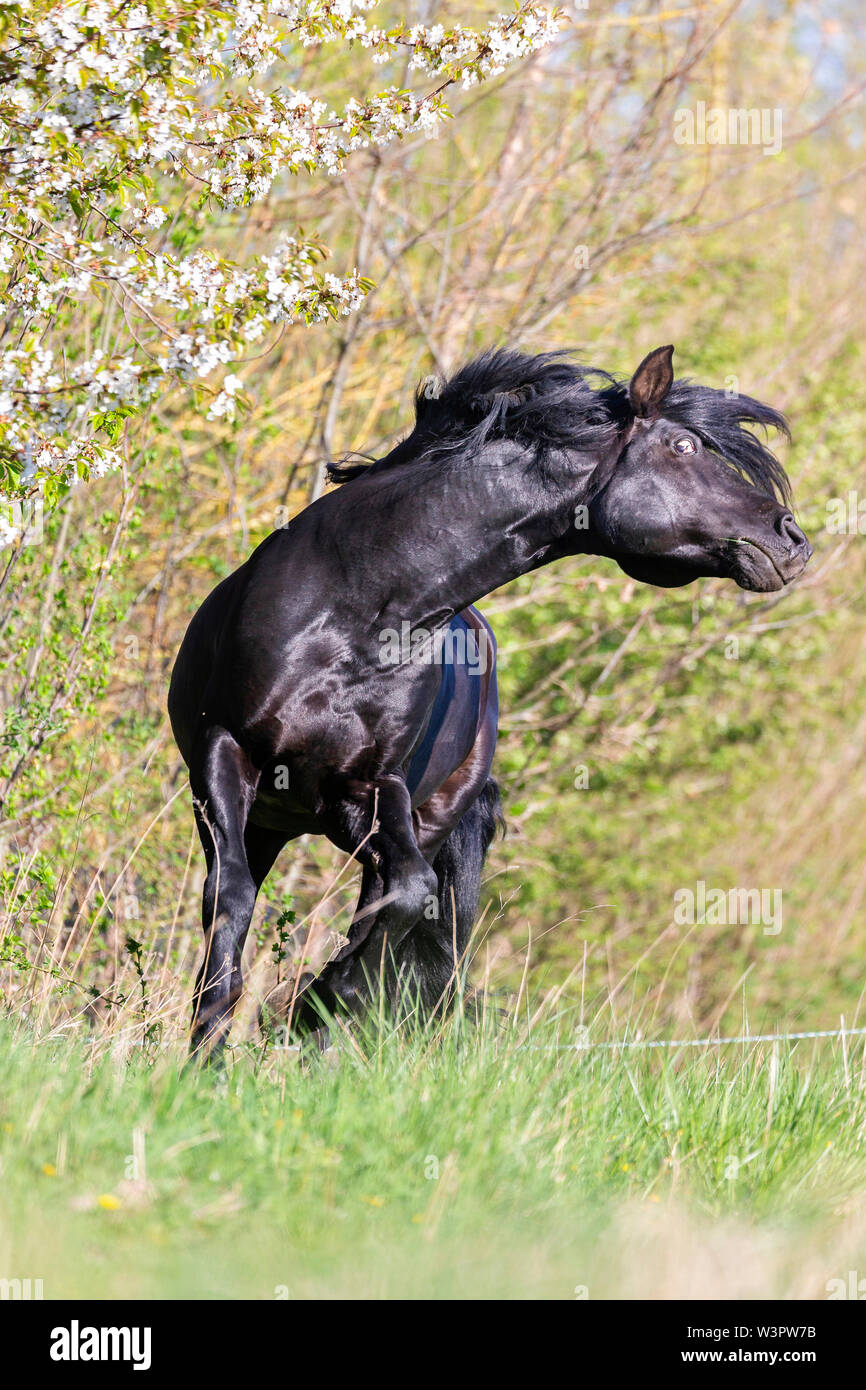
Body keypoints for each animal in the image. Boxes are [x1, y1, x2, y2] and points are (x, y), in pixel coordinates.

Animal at [168, 344, 812, 1060]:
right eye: (683, 445)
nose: (792, 540)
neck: (355, 606)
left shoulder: (372, 787)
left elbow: (407, 897)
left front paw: (318, 1004)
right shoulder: (226, 753)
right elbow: (230, 898)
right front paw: (207, 1053)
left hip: (395, 818)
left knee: (392, 900)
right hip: (278, 815)